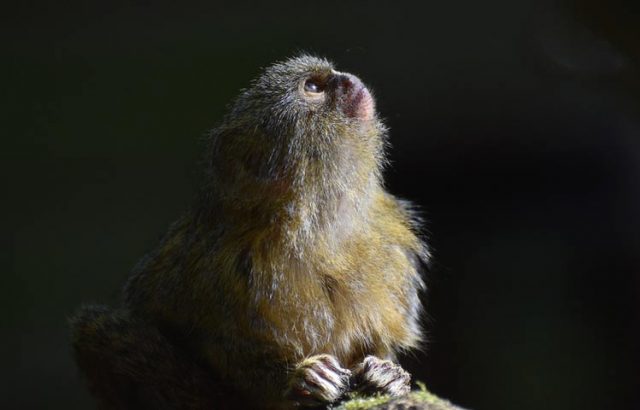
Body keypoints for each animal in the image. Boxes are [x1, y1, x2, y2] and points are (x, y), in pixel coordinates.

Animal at [70, 55, 429, 409]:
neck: (321, 220)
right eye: (313, 87)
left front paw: (386, 374)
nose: (347, 79)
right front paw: (299, 380)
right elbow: (219, 346)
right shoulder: (217, 264)